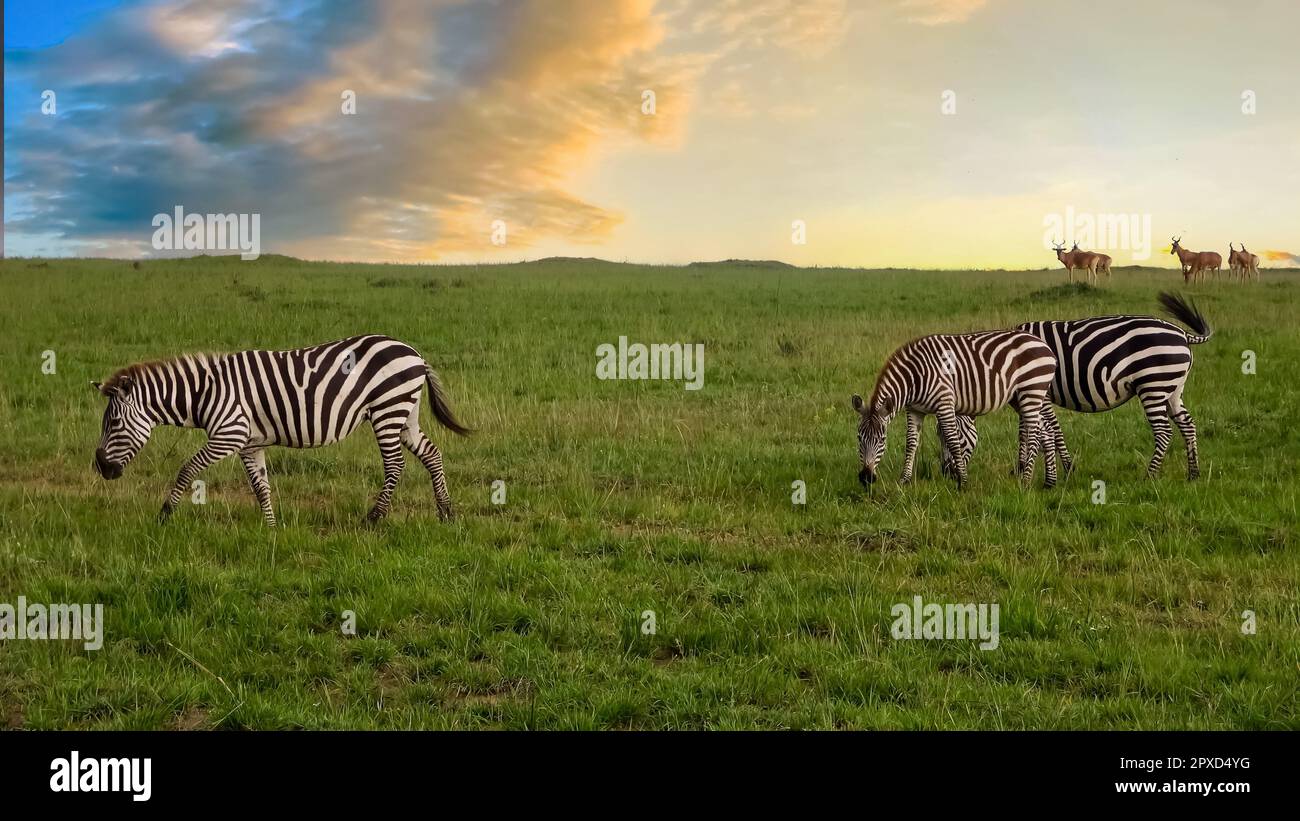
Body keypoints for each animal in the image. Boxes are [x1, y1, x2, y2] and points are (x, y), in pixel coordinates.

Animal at [92, 335, 471, 525]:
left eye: (114, 423)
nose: (101, 468)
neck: (206, 391)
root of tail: (414, 352)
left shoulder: (229, 433)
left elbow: (186, 469)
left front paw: (164, 515)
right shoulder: (249, 442)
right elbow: (260, 486)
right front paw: (271, 528)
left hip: (387, 409)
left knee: (394, 465)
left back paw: (374, 519)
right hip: (405, 413)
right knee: (432, 454)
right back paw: (446, 513)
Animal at [851, 330, 1058, 489]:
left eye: (882, 439)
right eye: (859, 438)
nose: (866, 478)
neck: (914, 378)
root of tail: (1043, 344)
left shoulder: (944, 403)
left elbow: (953, 440)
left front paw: (962, 482)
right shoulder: (915, 410)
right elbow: (911, 443)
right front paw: (904, 481)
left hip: (1032, 390)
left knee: (1034, 434)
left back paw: (1026, 481)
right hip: (1019, 398)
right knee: (1045, 430)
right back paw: (1048, 482)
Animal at [939, 292, 1212, 480]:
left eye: (949, 436)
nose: (945, 474)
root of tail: (1182, 333)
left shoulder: (1042, 395)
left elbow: (1051, 430)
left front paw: (1066, 469)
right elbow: (1025, 431)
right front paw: (1022, 468)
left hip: (1153, 385)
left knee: (1164, 432)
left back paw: (1149, 476)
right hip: (1172, 388)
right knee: (1187, 425)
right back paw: (1193, 474)